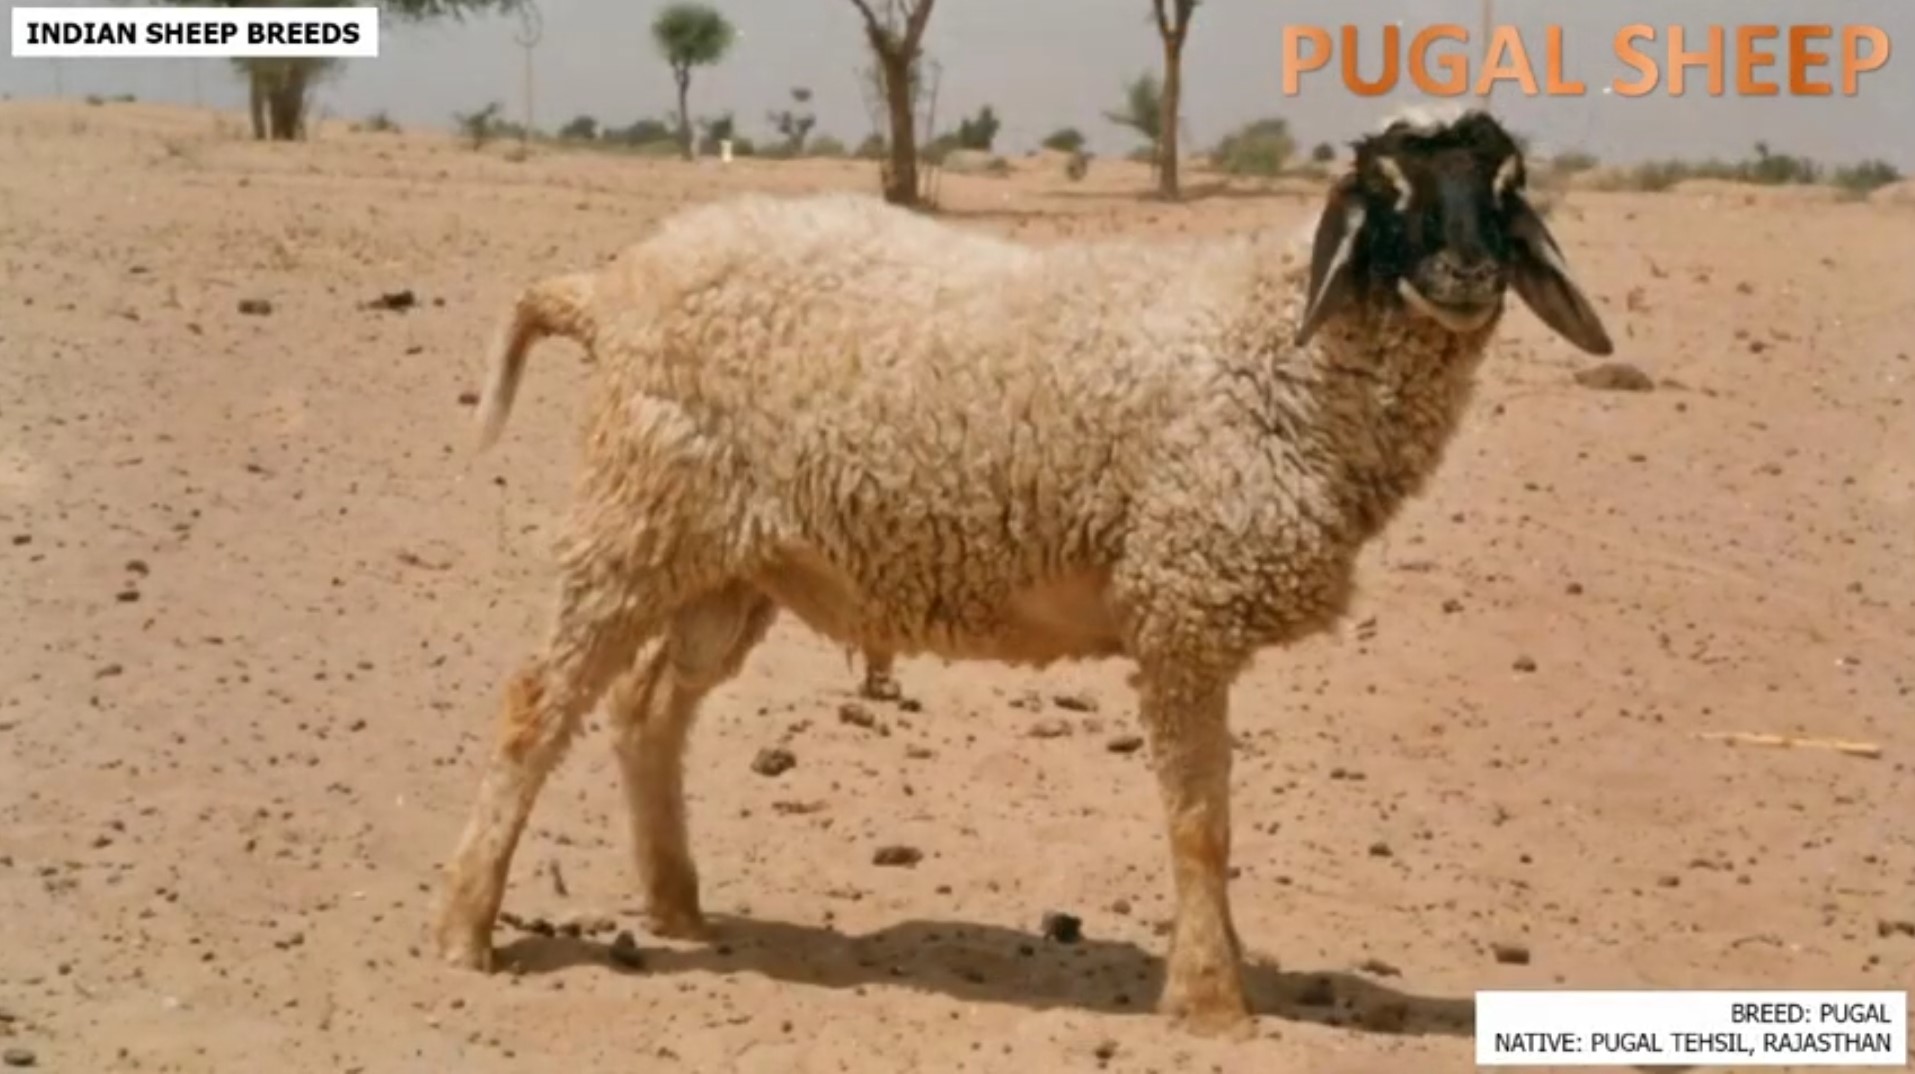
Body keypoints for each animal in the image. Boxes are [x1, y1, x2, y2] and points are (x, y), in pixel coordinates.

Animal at [432, 105, 1614, 1037]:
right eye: (1388, 192)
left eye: (1504, 192)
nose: (1466, 276)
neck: (1281, 354)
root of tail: (607, 288)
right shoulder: (1179, 607)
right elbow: (1201, 824)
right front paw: (1210, 1002)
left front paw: (1219, 978)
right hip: (635, 521)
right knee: (537, 705)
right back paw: (464, 931)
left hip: (731, 563)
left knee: (647, 708)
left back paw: (677, 908)